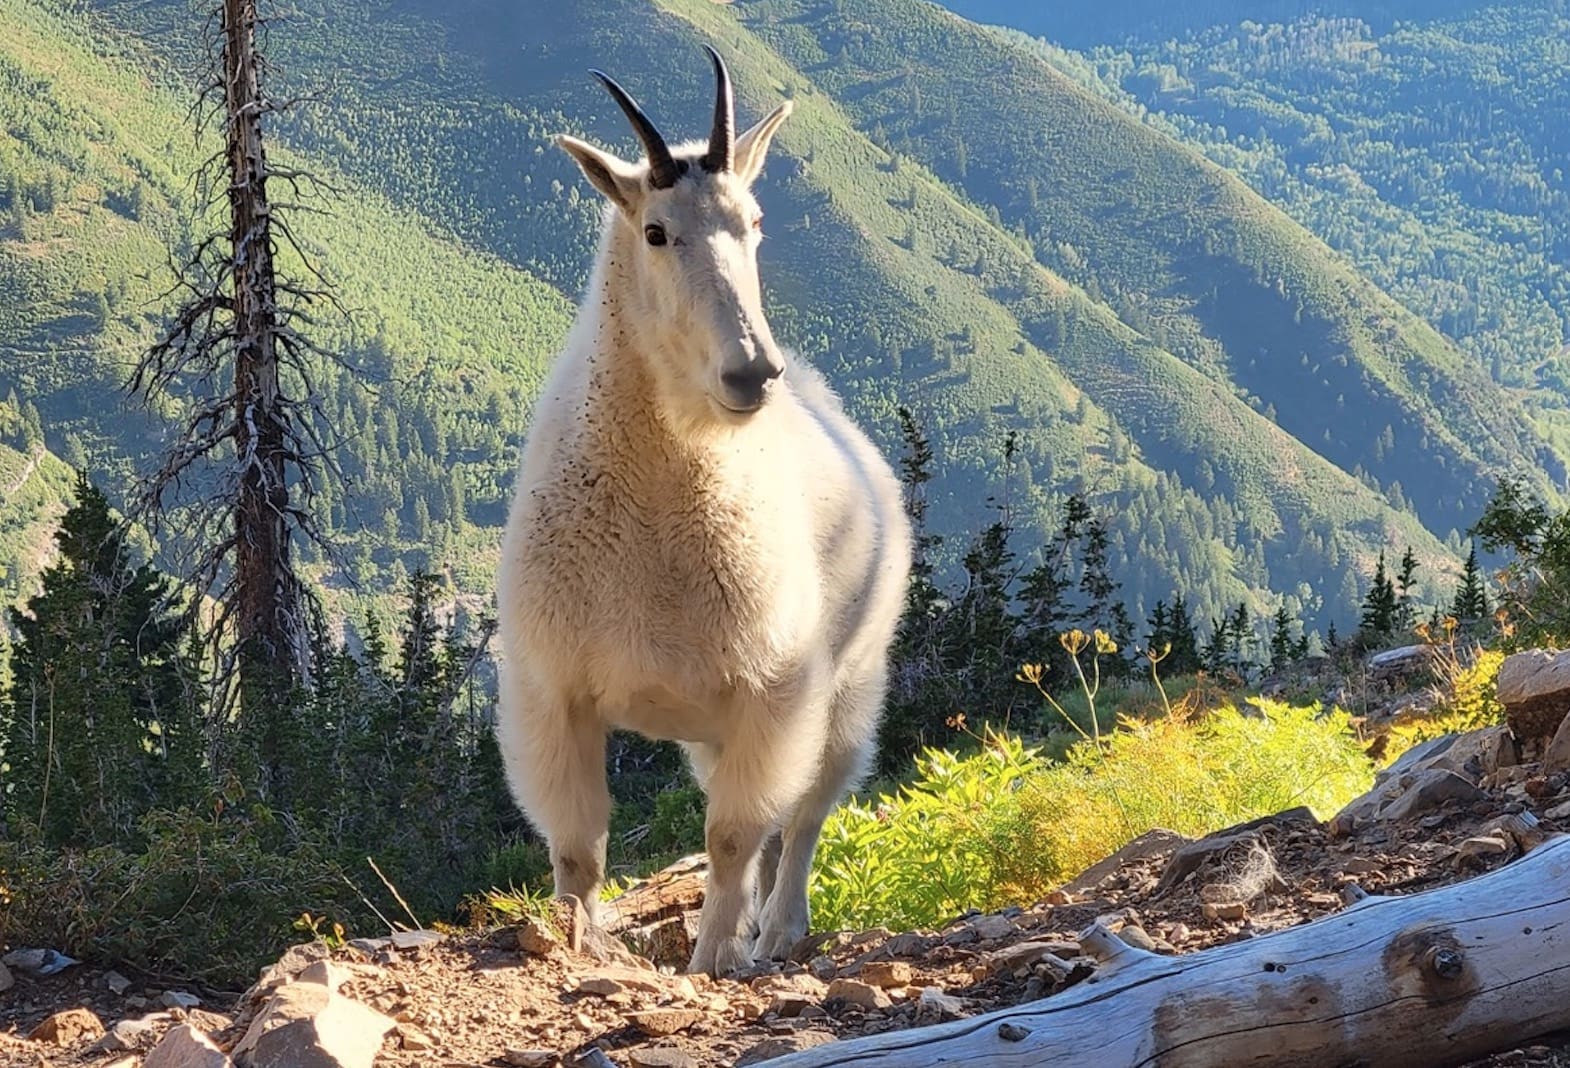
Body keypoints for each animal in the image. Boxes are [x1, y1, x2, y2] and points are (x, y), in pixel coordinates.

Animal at [495, 47, 911, 976]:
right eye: (656, 231)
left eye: (754, 221)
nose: (752, 372)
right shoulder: (554, 690)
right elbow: (578, 848)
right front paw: (580, 946)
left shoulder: (773, 689)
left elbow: (731, 834)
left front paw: (717, 957)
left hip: (851, 684)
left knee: (806, 814)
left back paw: (779, 928)